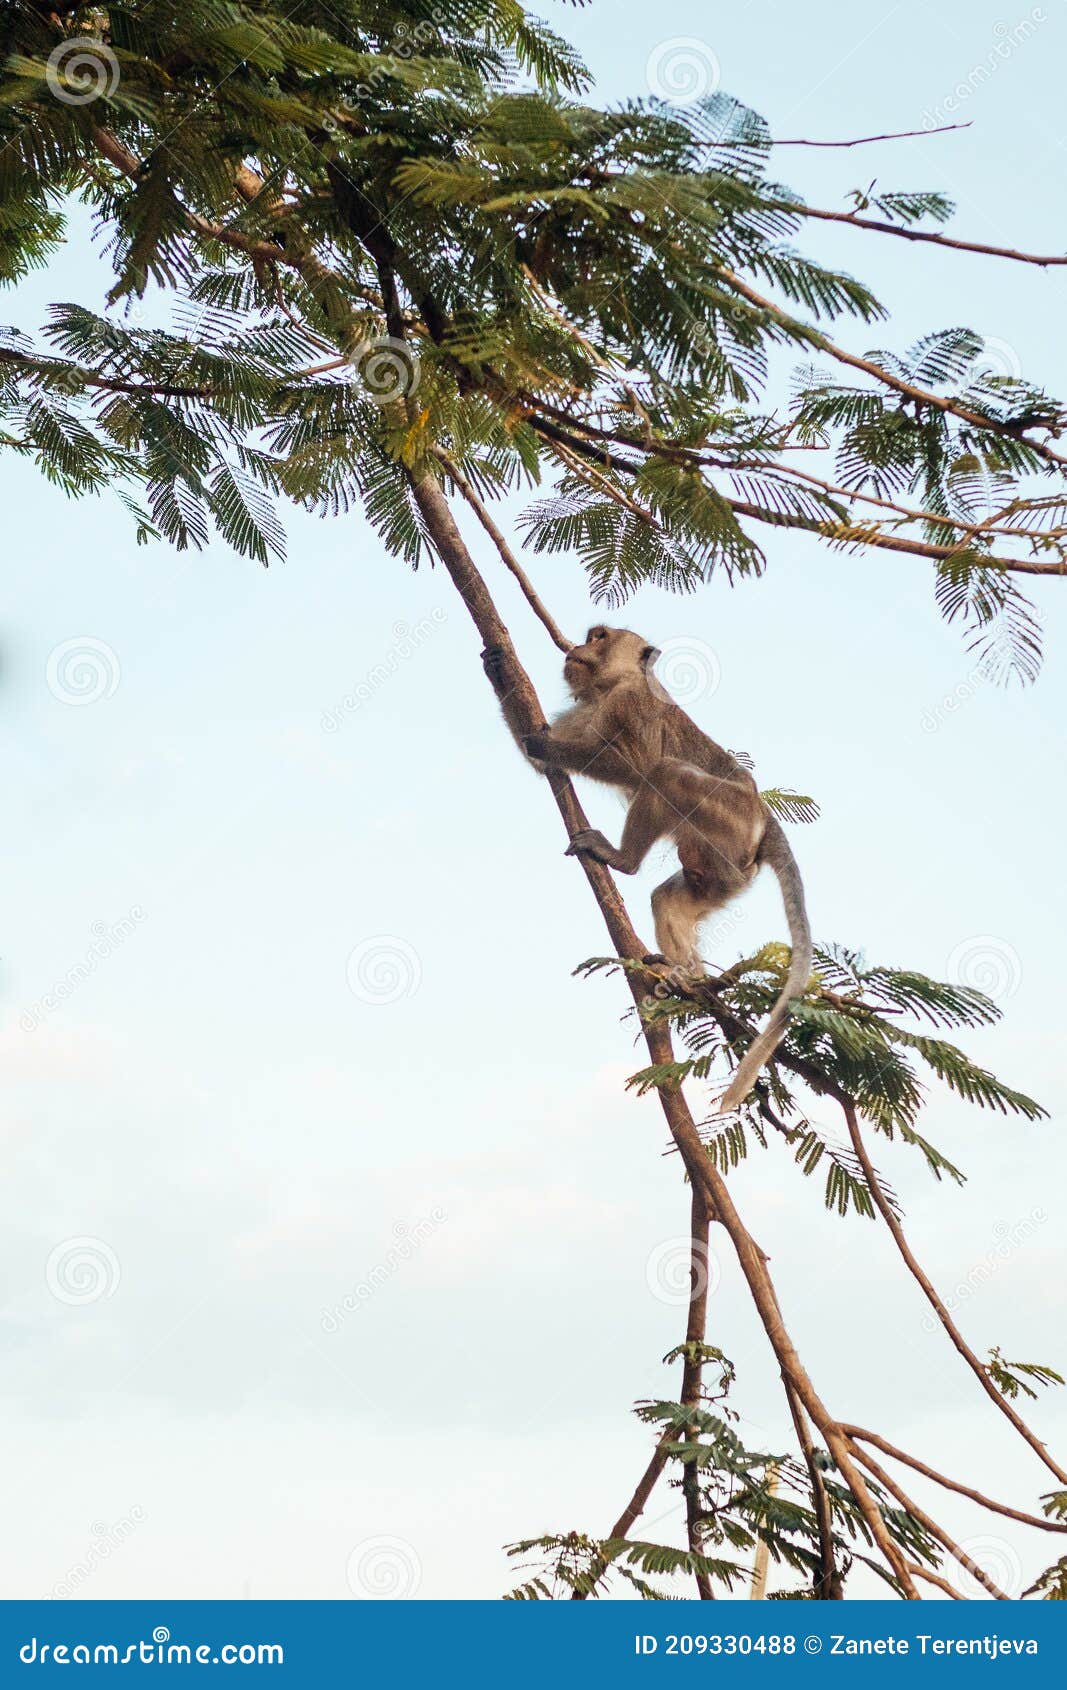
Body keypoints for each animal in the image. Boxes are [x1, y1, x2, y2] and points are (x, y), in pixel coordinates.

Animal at [483, 627, 812, 1113]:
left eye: (600, 637)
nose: (578, 648)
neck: (610, 687)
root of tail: (764, 819)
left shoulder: (630, 705)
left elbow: (637, 765)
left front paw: (544, 743)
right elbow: (546, 767)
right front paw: (498, 670)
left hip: (729, 824)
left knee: (665, 772)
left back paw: (623, 861)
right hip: (722, 872)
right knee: (671, 897)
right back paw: (688, 977)